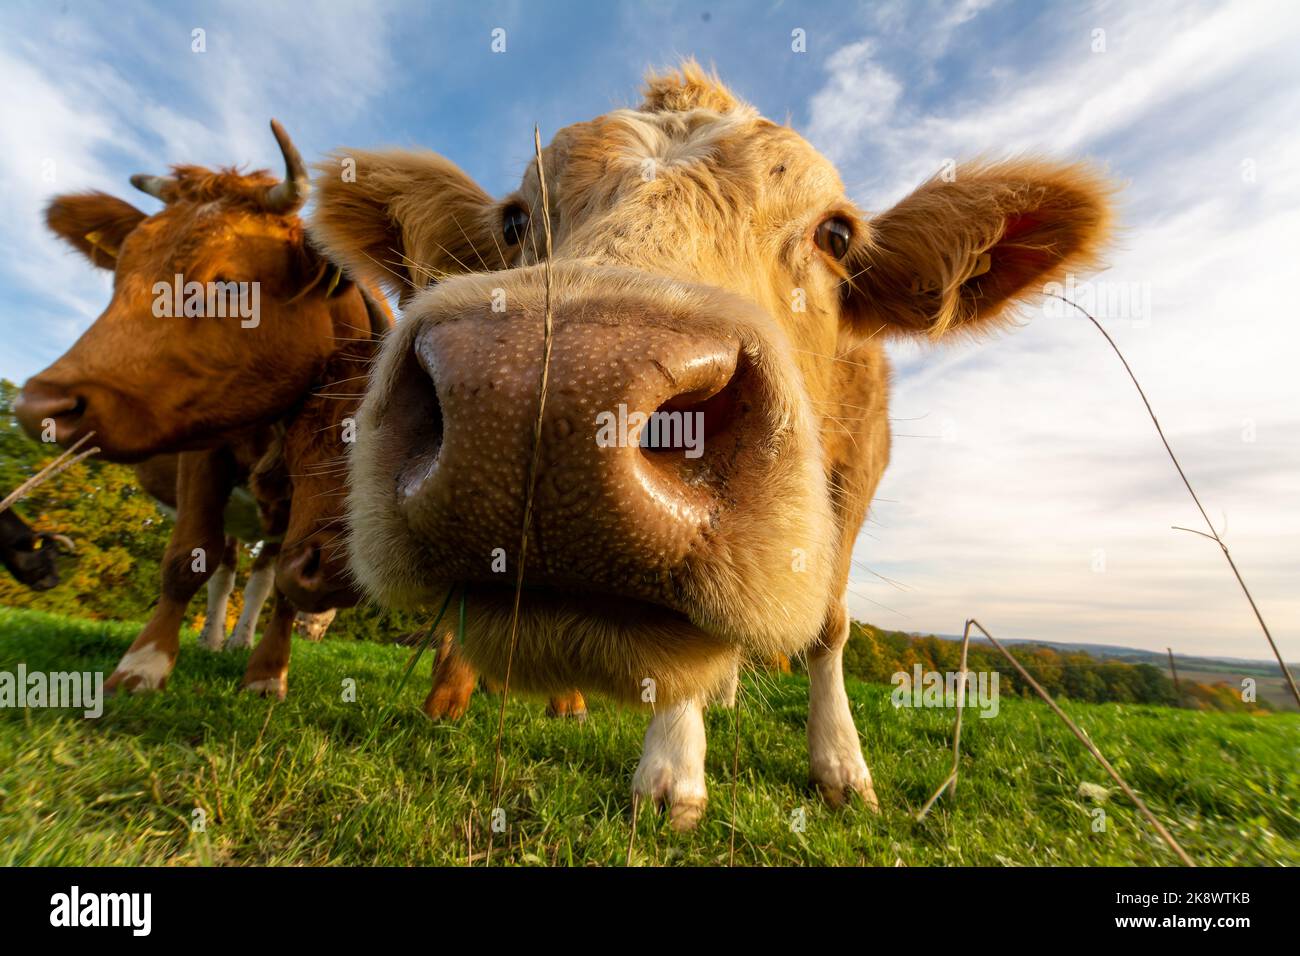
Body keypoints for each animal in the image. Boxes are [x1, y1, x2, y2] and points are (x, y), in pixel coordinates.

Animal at [14, 120, 387, 696]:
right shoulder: (203, 451)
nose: (39, 404)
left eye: (230, 284)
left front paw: (268, 672)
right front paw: (143, 664)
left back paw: (239, 642)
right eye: (119, 272)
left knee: (259, 573)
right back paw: (213, 639)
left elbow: (282, 584)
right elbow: (188, 558)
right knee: (227, 567)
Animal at [309, 63, 1113, 829]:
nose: (539, 399)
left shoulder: (861, 472)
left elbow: (831, 626)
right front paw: (673, 774)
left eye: (836, 235)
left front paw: (841, 768)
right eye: (513, 221)